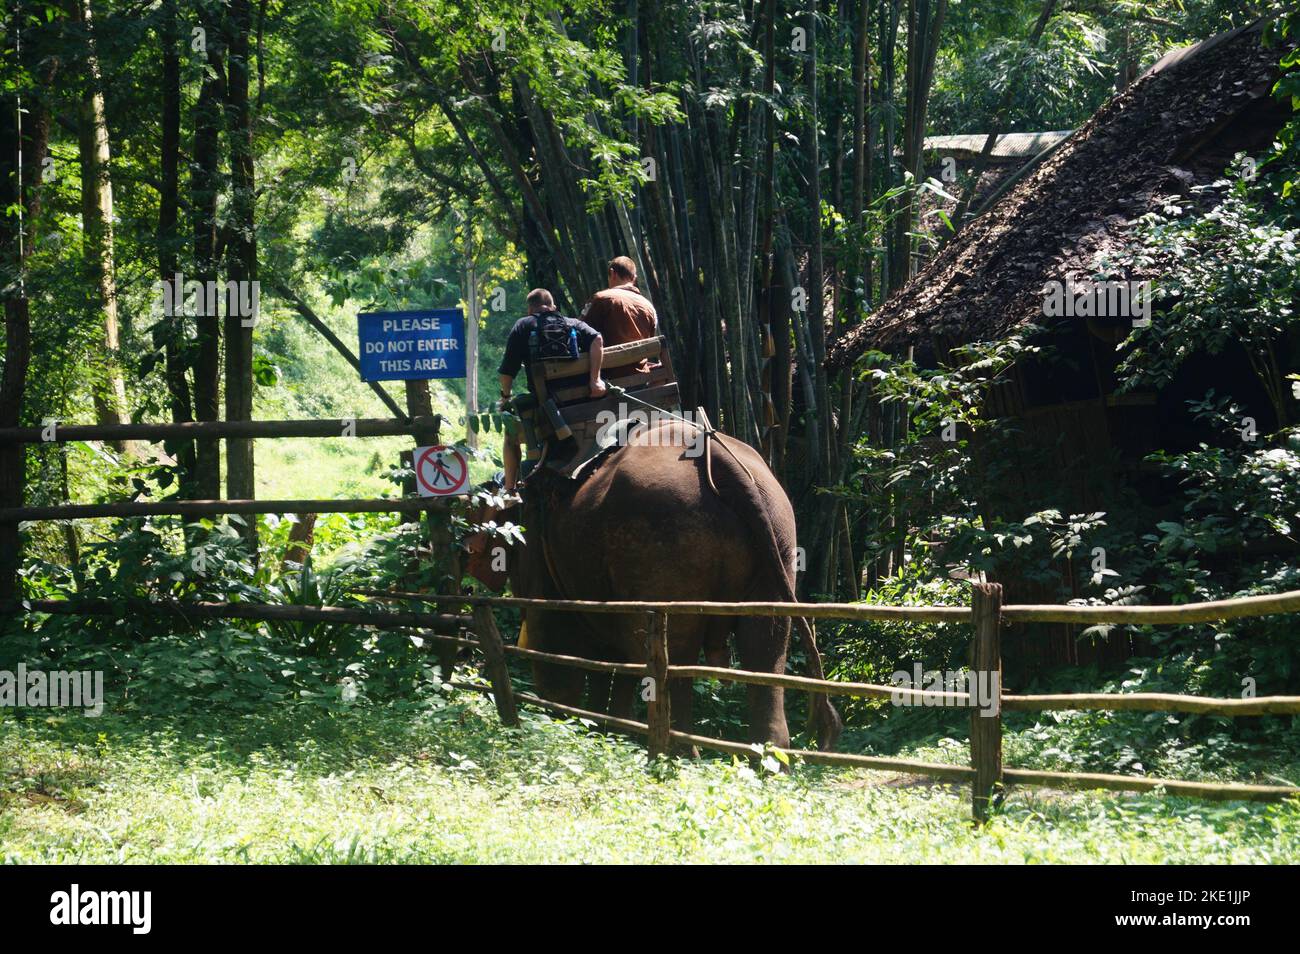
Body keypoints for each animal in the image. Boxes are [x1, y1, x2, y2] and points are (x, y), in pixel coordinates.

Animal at [464, 419, 842, 752]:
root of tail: (716, 457)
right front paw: (605, 730)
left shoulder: (540, 548)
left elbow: (557, 644)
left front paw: (577, 725)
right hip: (779, 538)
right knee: (764, 646)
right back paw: (769, 759)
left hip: (662, 544)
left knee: (675, 654)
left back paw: (677, 752)